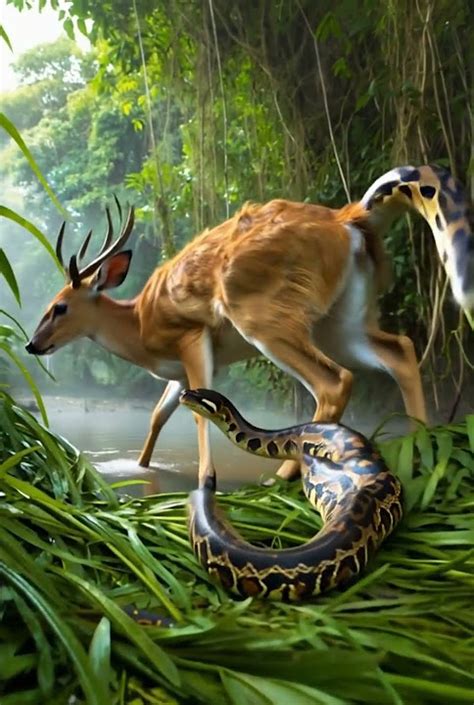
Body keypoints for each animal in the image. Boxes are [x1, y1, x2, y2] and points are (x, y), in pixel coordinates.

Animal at [26, 165, 473, 486]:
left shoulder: (192, 339)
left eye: (59, 307)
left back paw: (281, 477)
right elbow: (157, 415)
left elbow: (197, 413)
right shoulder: (178, 371)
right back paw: (421, 449)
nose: (32, 345)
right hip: (341, 321)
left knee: (334, 381)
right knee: (400, 350)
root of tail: (348, 220)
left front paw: (206, 479)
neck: (138, 324)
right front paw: (140, 467)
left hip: (264, 318)